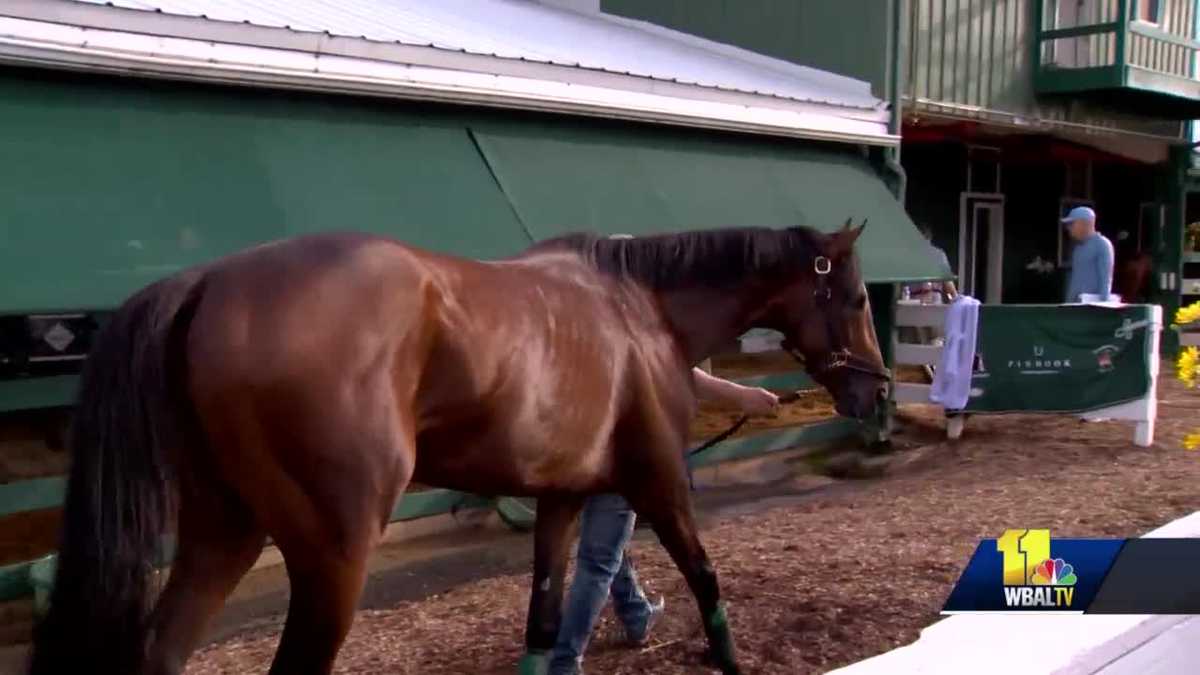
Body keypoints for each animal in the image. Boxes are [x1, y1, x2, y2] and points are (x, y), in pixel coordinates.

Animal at [28, 220, 888, 675]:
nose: (876, 391)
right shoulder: (659, 481)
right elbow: (707, 578)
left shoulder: (561, 498)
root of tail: (205, 283)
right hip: (331, 553)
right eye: (852, 297)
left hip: (222, 528)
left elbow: (544, 622)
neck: (641, 314)